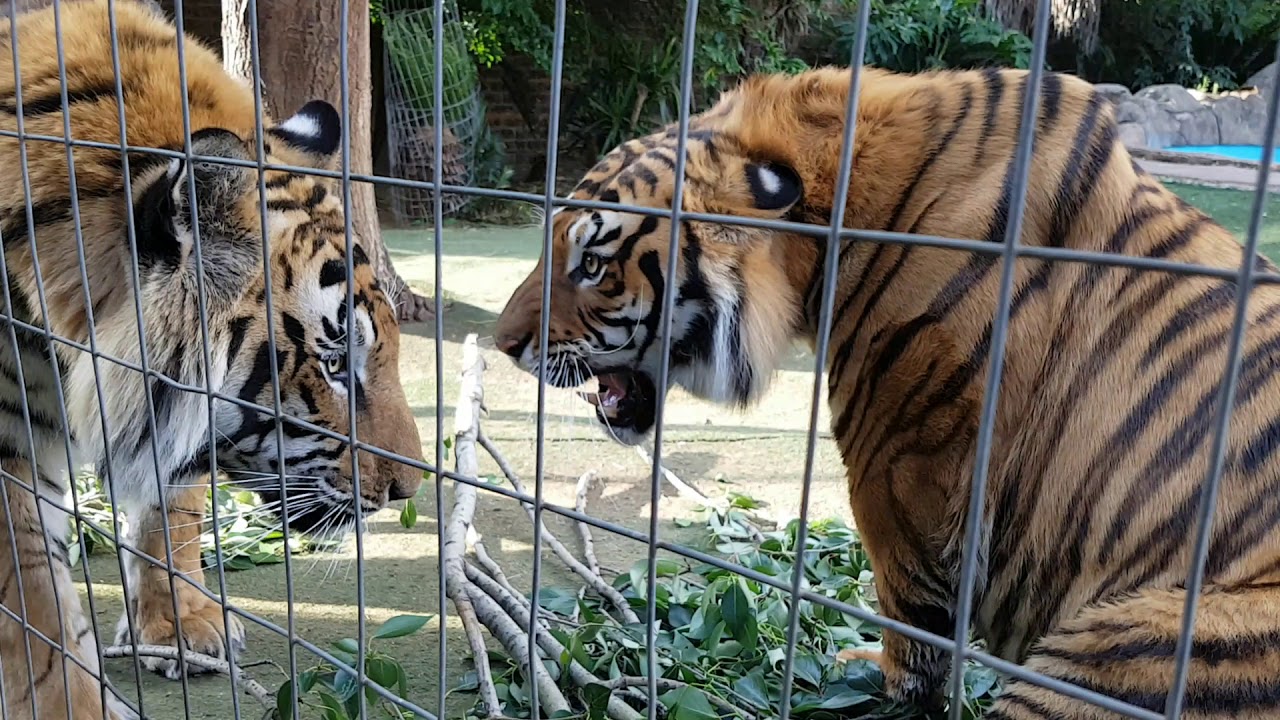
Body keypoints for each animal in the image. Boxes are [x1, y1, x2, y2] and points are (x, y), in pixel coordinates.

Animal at [0, 2, 425, 718]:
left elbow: (171, 508)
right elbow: (36, 607)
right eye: (336, 362)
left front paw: (179, 624)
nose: (408, 491)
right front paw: (76, 706)